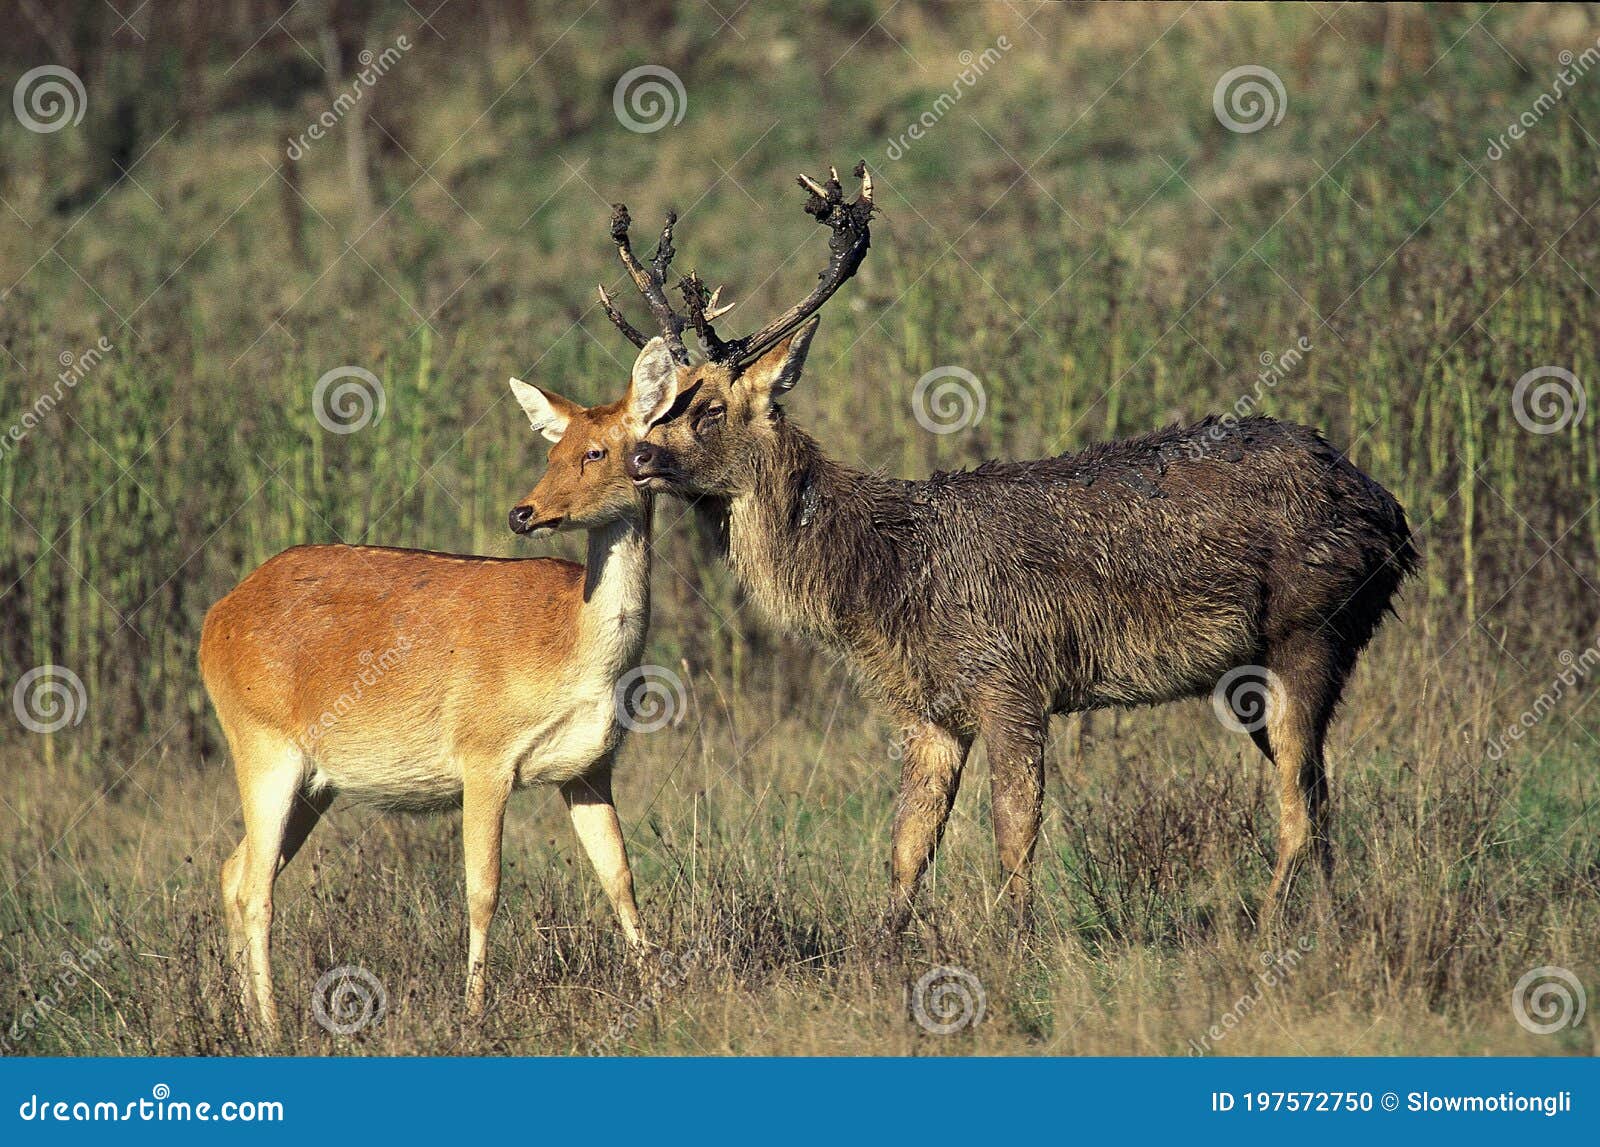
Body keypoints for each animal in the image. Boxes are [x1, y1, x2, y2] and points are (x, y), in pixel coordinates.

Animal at [198, 333, 682, 1034]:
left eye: (596, 450)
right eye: (550, 449)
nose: (523, 512)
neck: (575, 654)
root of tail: (213, 621)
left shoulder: (589, 768)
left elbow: (619, 876)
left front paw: (657, 990)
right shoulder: (483, 756)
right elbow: (483, 890)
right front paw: (475, 1011)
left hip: (315, 783)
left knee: (233, 871)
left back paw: (244, 1017)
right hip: (261, 747)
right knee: (257, 887)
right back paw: (273, 1026)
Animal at [616, 162, 1420, 943]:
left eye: (710, 409)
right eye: (657, 403)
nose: (637, 455)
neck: (887, 581)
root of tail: (1389, 512)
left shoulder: (1010, 676)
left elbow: (1014, 830)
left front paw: (1017, 943)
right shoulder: (929, 710)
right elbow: (908, 848)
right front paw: (879, 951)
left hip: (1309, 624)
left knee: (1299, 806)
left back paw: (1268, 928)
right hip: (1253, 668)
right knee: (1319, 794)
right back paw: (1324, 920)